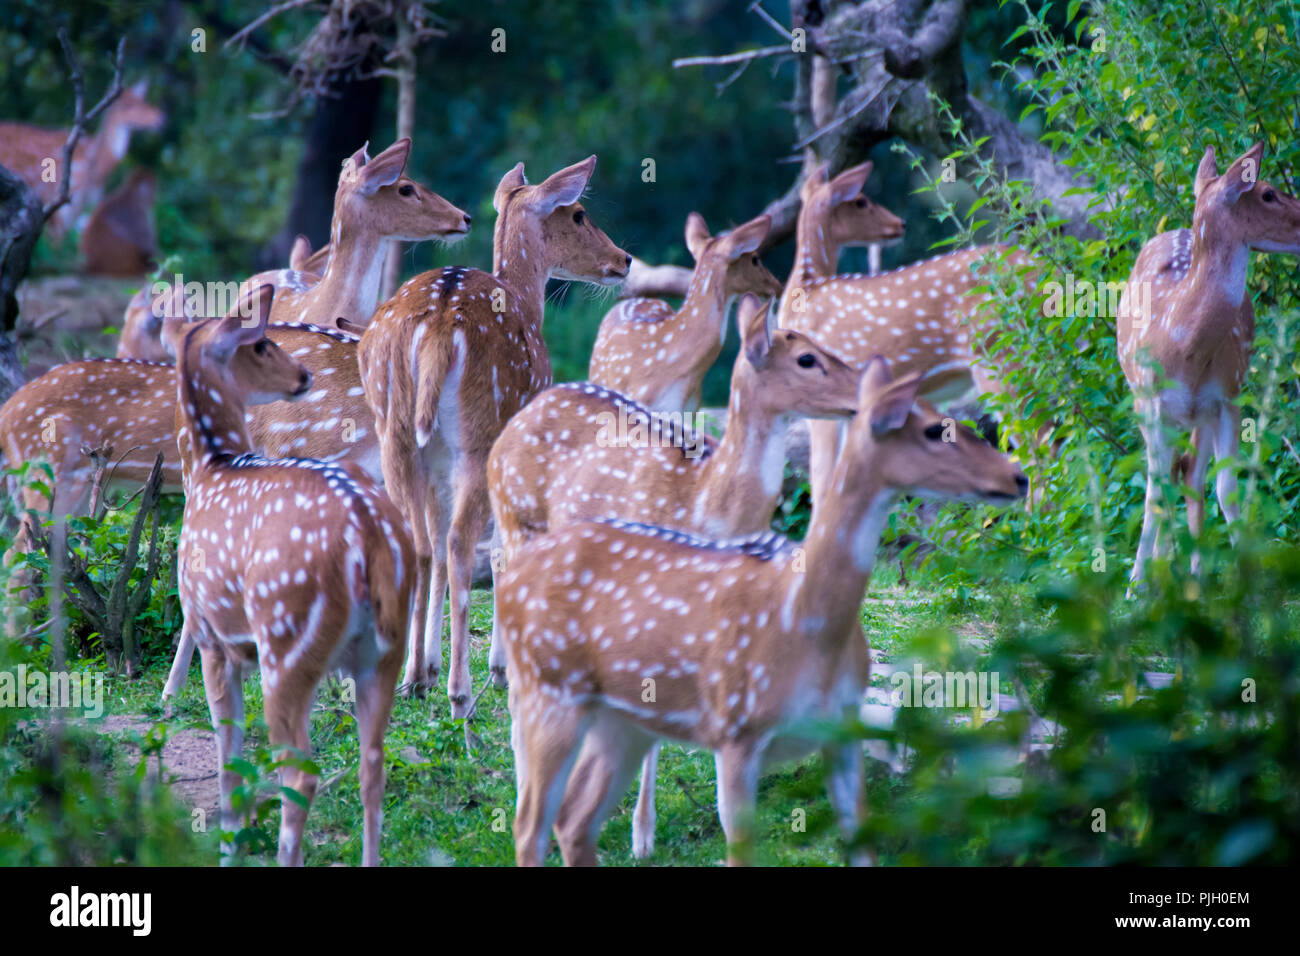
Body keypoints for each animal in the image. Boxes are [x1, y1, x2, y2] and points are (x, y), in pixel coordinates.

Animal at [168, 283, 412, 866]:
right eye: (260, 345)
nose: (302, 376)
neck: (217, 466)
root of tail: (368, 536)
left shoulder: (215, 636)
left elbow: (229, 760)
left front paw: (228, 848)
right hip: (382, 653)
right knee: (373, 766)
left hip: (285, 645)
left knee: (300, 774)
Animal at [356, 155, 630, 718]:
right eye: (579, 214)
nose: (625, 259)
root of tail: (439, 324)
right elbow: (505, 550)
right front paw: (500, 670)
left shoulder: (436, 455)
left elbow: (436, 547)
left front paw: (427, 665)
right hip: (483, 432)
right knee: (462, 542)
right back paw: (461, 693)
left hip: (396, 430)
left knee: (422, 542)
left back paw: (411, 678)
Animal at [489, 293, 861, 858]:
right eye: (806, 358)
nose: (863, 389)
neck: (707, 501)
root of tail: (512, 423)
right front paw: (641, 836)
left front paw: (643, 829)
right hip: (517, 523)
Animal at [497, 356, 1028, 866]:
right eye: (935, 430)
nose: (1017, 476)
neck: (803, 621)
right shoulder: (736, 729)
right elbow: (741, 847)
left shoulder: (842, 730)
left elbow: (862, 841)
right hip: (553, 686)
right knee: (530, 822)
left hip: (618, 721)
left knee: (572, 819)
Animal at [1118, 141, 1300, 589]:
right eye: (1267, 193)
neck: (1182, 346)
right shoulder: (1150, 403)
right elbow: (1152, 491)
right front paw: (1137, 584)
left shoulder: (1228, 395)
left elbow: (1225, 484)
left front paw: (1249, 578)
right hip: (1147, 402)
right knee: (1171, 474)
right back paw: (1166, 567)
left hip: (1199, 412)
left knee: (1190, 474)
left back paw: (1193, 571)